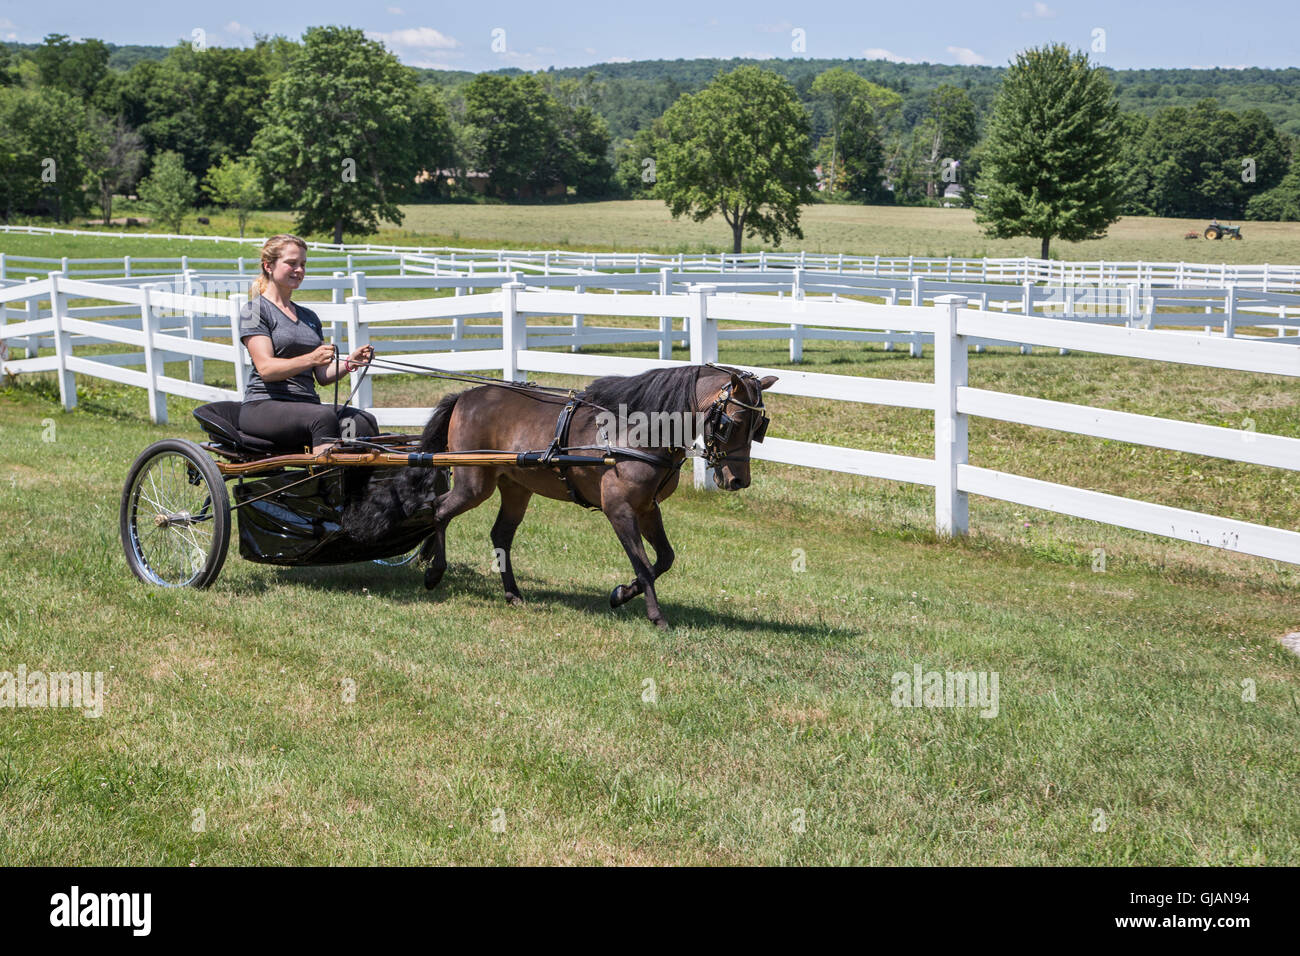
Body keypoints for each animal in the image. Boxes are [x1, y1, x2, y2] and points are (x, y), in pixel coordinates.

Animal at [341, 363, 777, 628]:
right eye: (732, 421)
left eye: (759, 426)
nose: (738, 480)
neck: (634, 432)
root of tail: (466, 396)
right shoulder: (619, 510)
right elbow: (643, 563)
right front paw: (654, 614)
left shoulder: (647, 507)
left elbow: (664, 559)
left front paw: (621, 594)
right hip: (473, 481)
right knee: (439, 510)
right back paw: (434, 570)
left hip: (515, 487)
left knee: (499, 535)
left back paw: (511, 593)